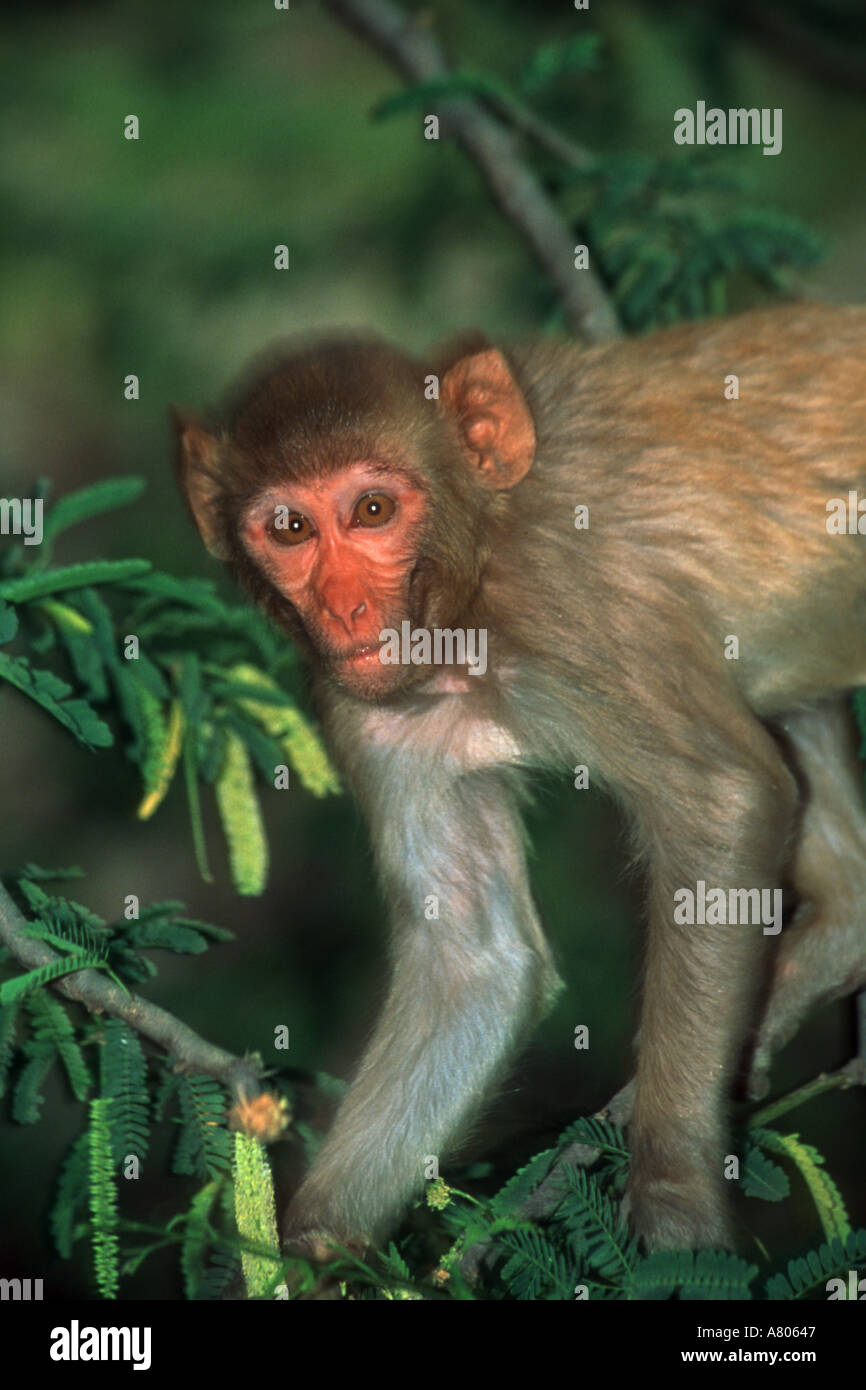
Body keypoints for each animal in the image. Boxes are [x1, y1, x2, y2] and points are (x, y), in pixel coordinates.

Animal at [173, 302, 866, 1259]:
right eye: (289, 529)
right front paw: (316, 1253)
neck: (472, 600)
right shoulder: (366, 707)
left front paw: (675, 1199)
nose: (346, 609)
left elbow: (722, 802)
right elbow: (475, 964)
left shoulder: (573, 608)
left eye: (373, 510)